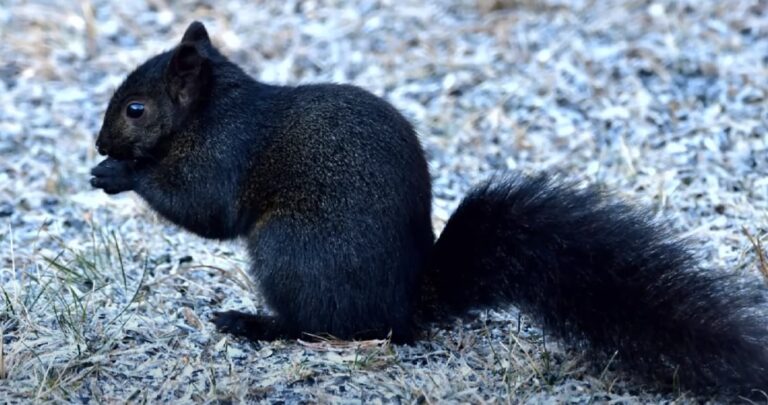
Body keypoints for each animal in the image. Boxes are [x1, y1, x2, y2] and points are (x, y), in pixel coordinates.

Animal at [90, 21, 768, 396]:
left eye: (135, 109)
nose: (98, 144)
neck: (210, 111)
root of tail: (405, 304)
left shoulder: (225, 155)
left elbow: (202, 209)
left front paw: (122, 173)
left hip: (289, 252)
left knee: (326, 325)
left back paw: (256, 324)